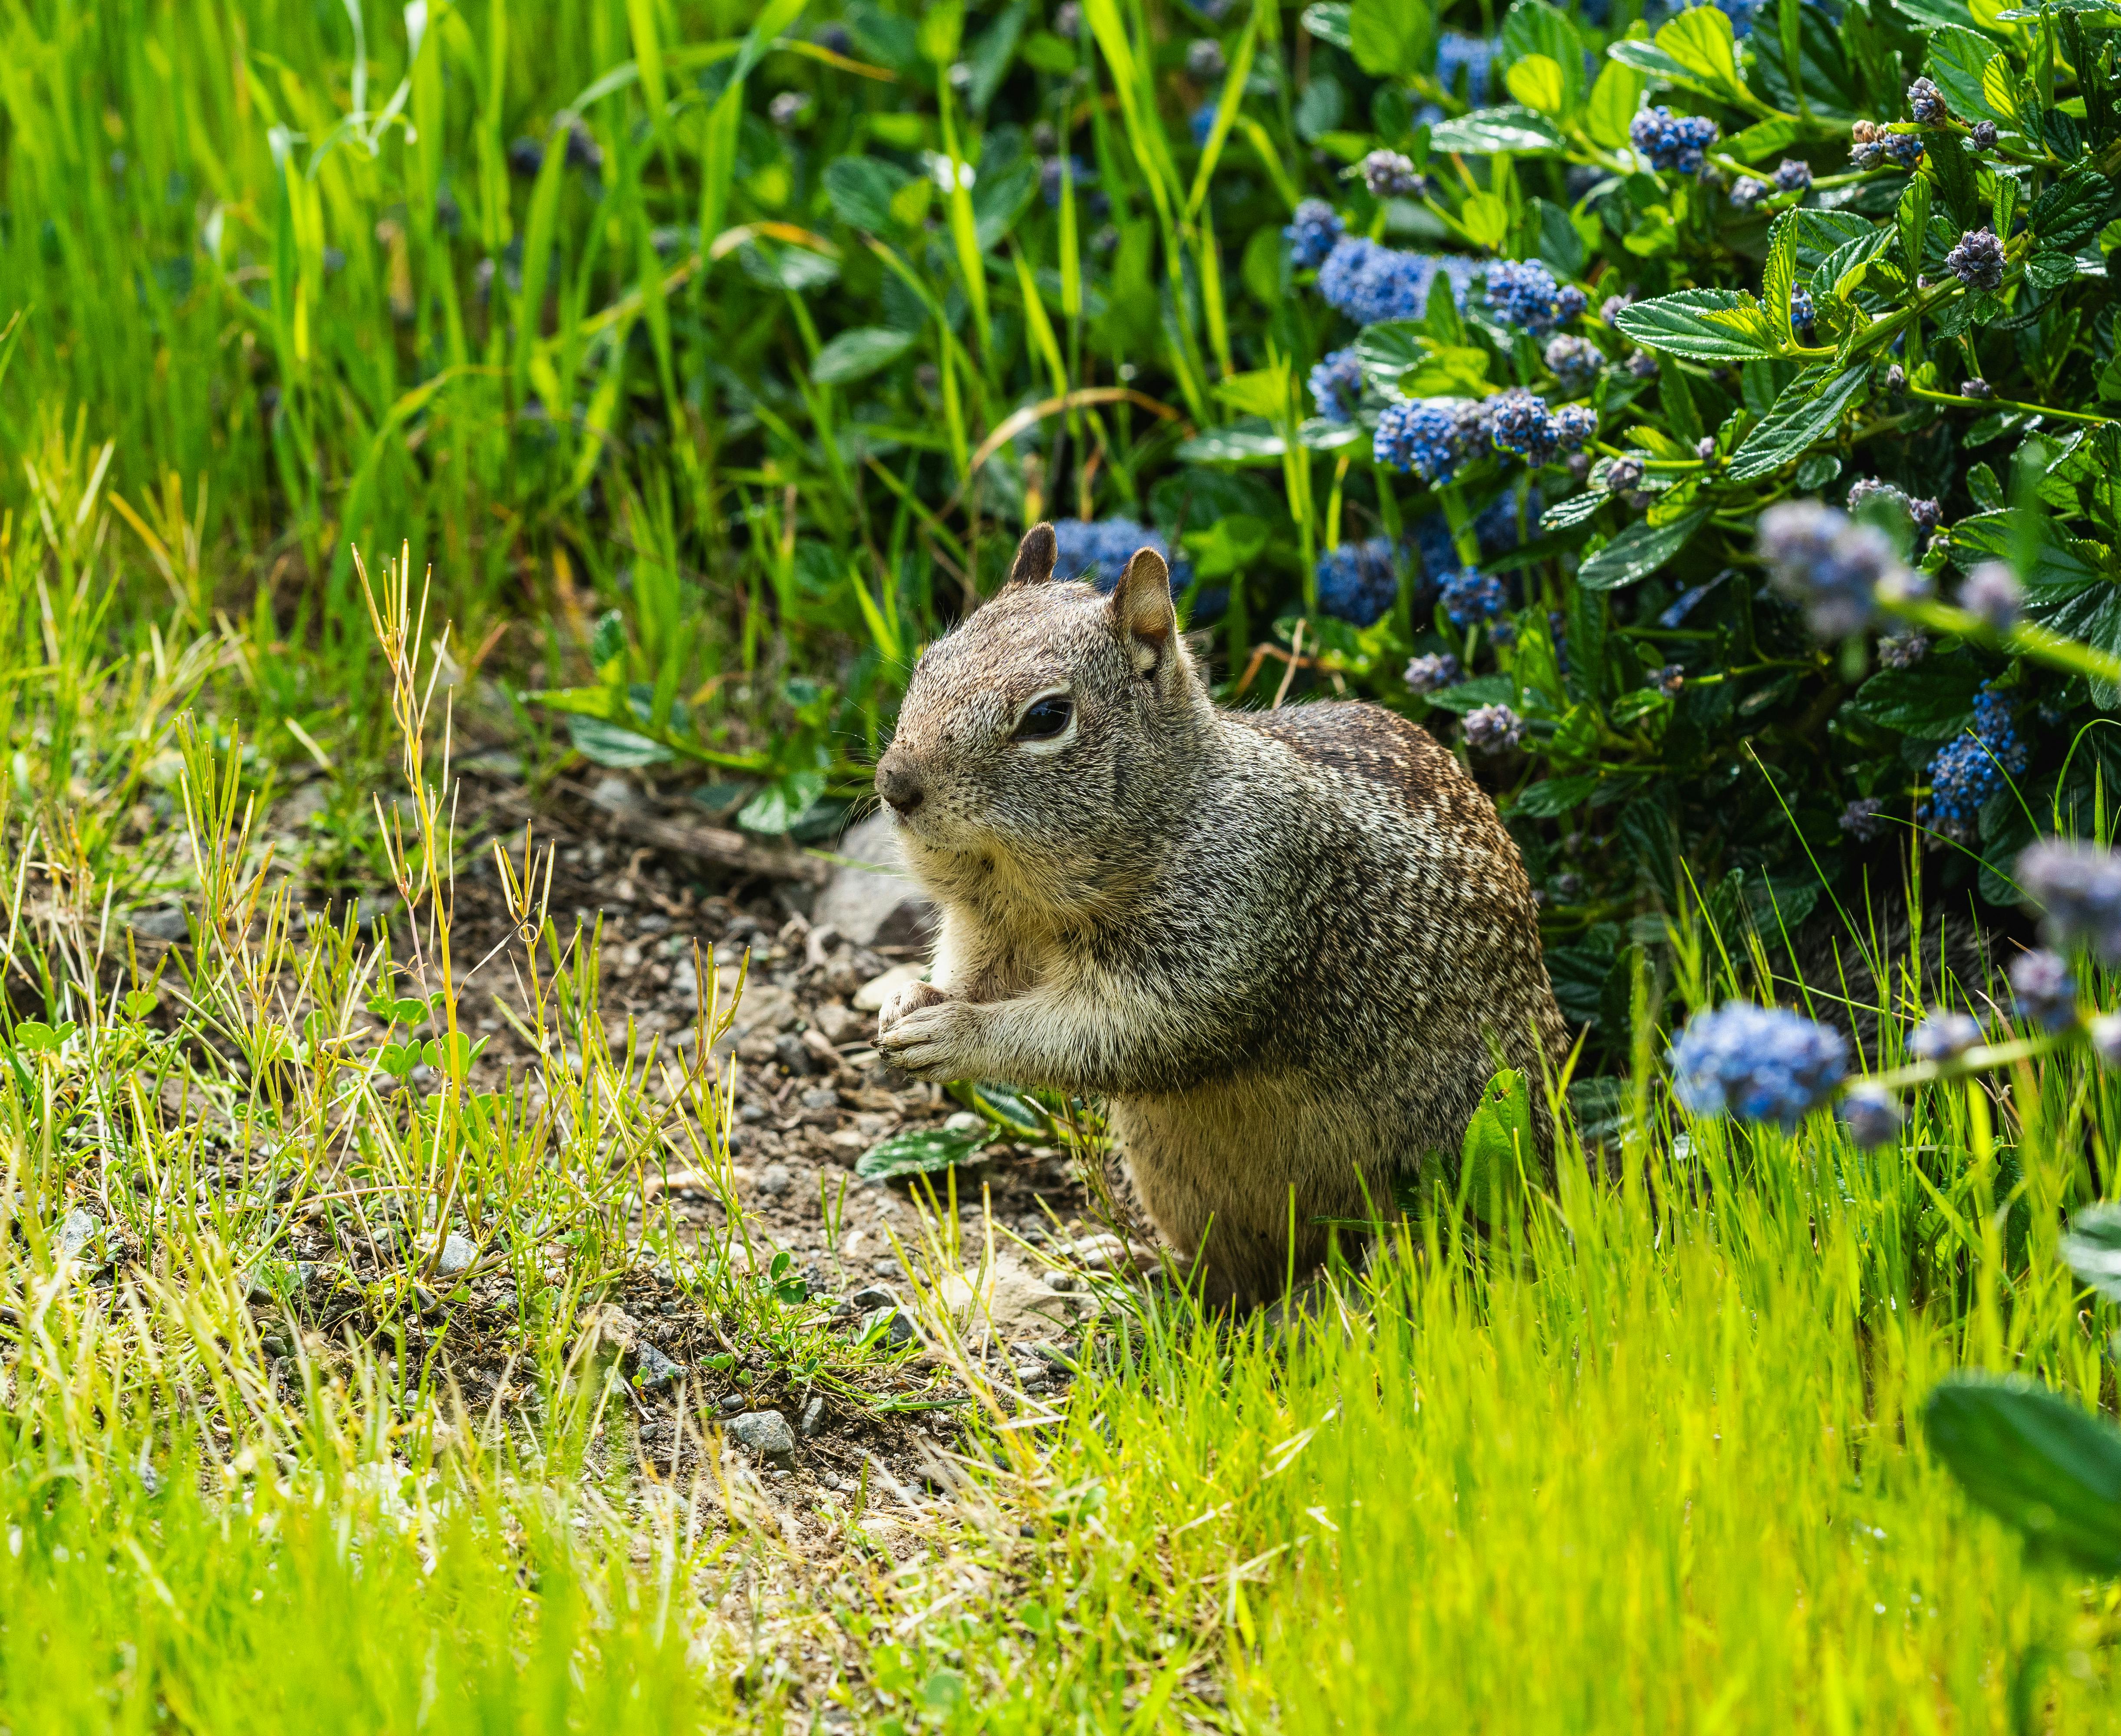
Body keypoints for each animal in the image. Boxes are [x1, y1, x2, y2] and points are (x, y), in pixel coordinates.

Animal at [871, 523, 1567, 1306]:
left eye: (1047, 717)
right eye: (928, 663)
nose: (894, 784)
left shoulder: (1228, 929)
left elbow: (1112, 1033)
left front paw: (955, 1034)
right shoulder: (985, 928)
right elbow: (972, 975)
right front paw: (908, 999)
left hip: (1468, 1151)